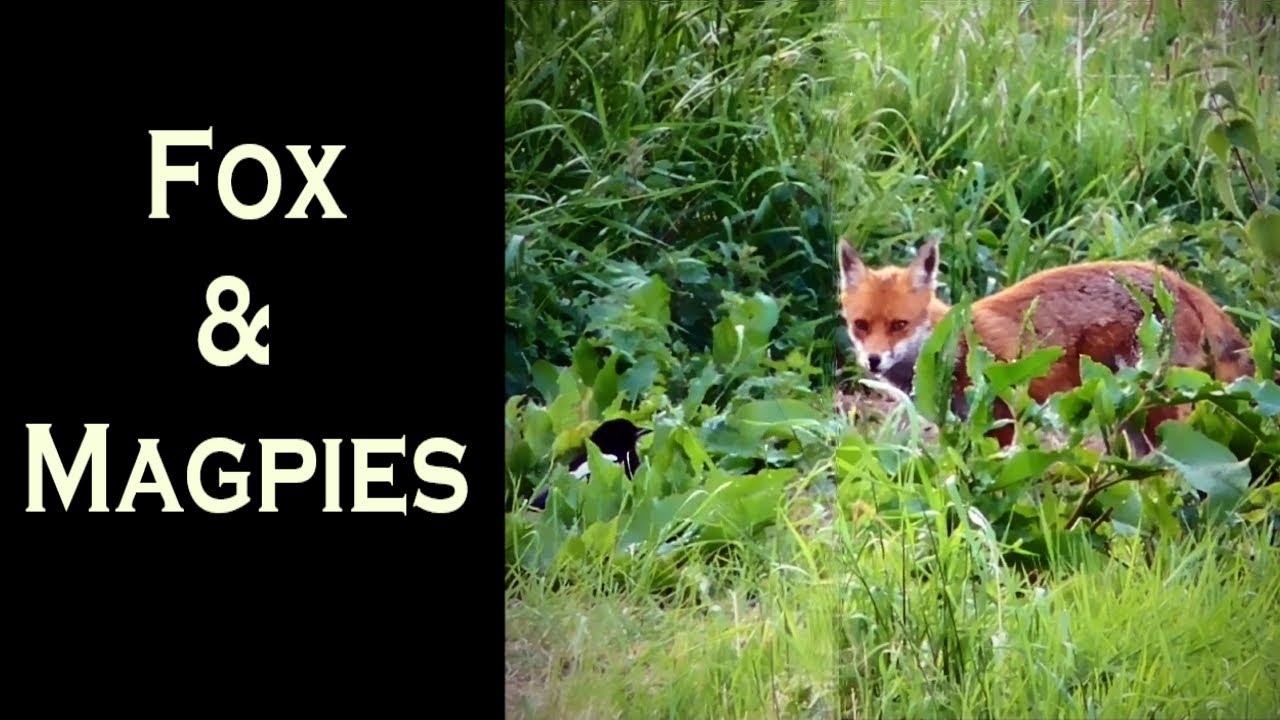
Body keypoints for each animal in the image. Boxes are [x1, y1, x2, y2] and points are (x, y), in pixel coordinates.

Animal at [837, 234, 1257, 455]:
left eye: (899, 325)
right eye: (861, 325)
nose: (873, 360)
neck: (954, 345)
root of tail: (1177, 281)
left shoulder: (1000, 417)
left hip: (1155, 409)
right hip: (1130, 416)